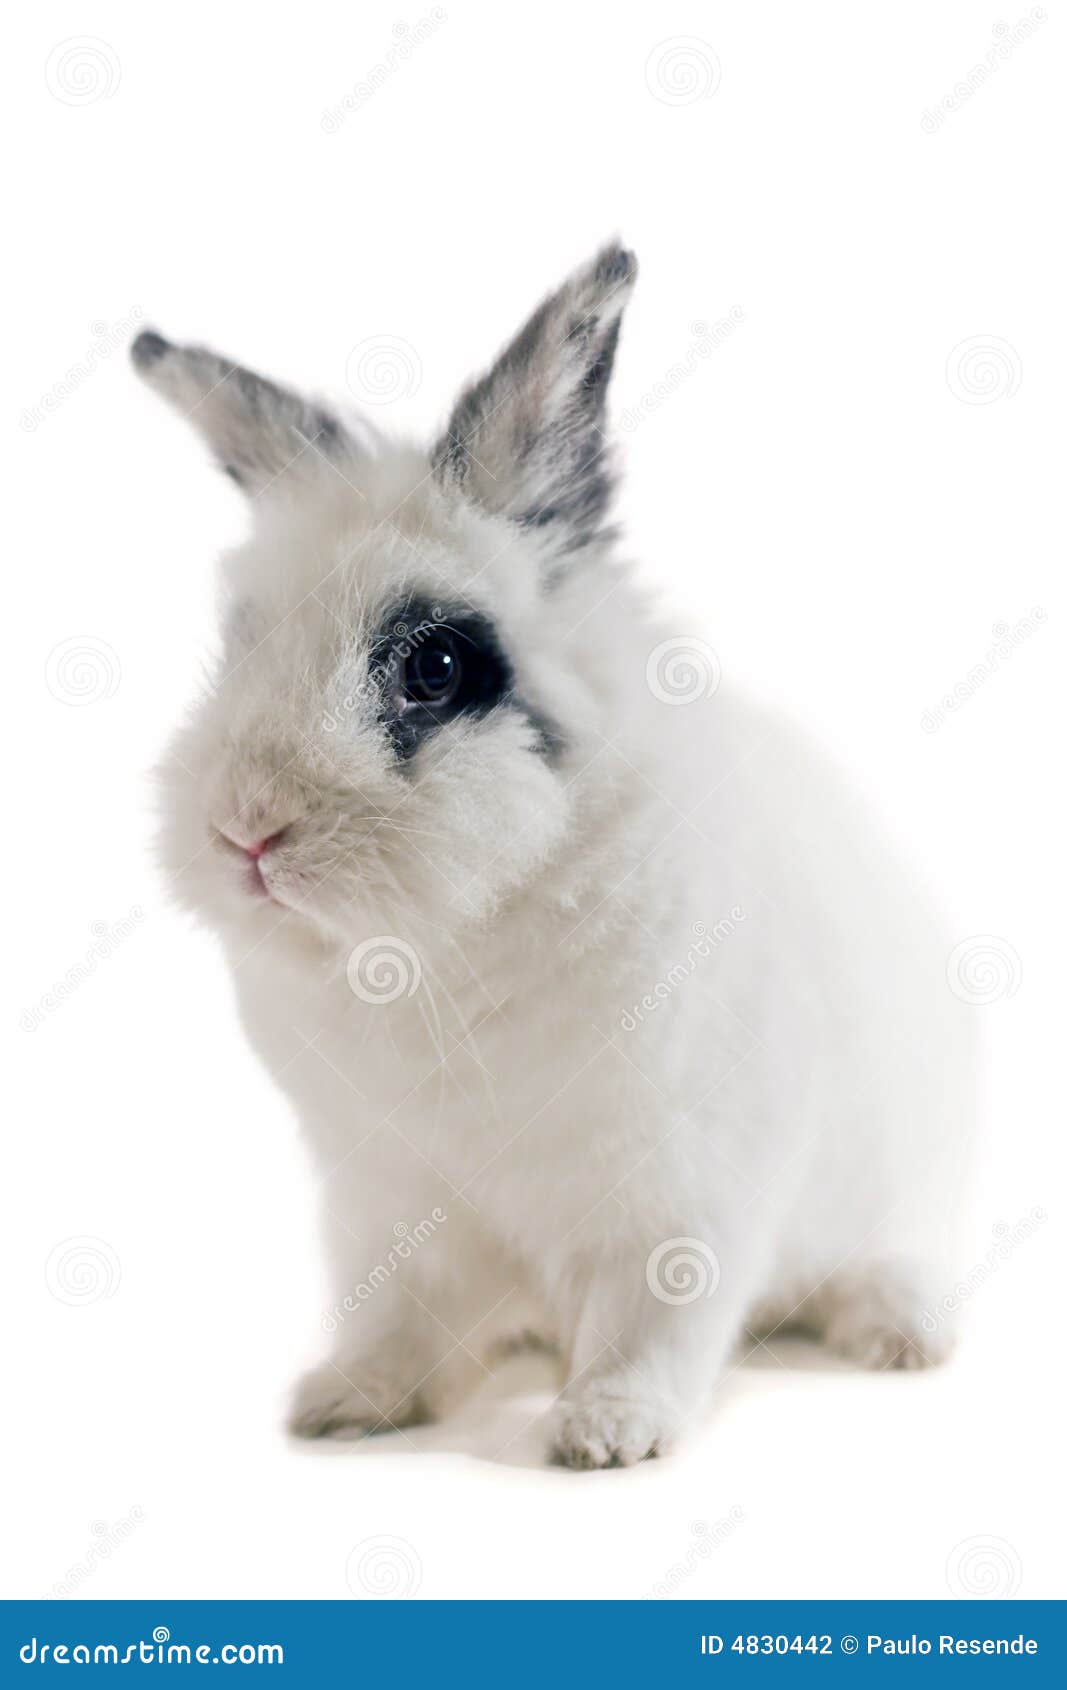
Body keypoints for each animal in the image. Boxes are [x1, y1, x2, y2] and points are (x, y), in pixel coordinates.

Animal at [131, 242, 975, 1468]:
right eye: (237, 647)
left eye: (435, 666)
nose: (246, 830)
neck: (429, 954)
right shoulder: (391, 1207)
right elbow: (400, 1315)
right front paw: (342, 1404)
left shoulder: (682, 1193)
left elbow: (654, 1315)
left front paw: (605, 1432)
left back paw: (902, 1334)